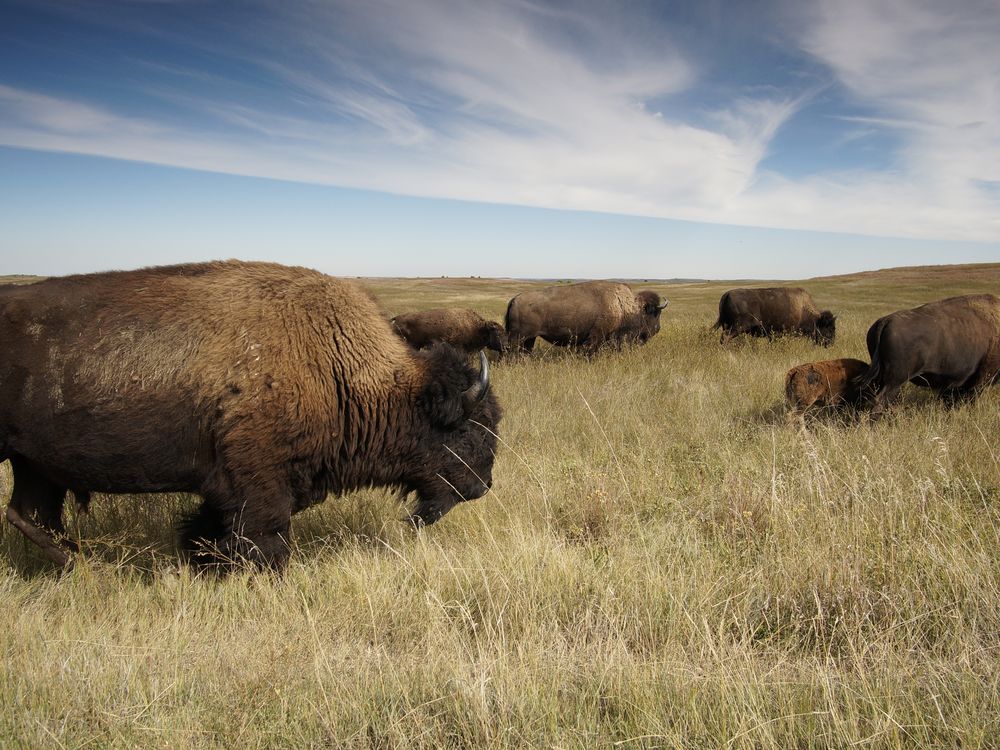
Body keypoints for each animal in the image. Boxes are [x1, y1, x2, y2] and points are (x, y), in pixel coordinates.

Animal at [0, 260, 501, 570]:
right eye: (469, 430)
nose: (482, 487)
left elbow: (209, 529)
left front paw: (198, 560)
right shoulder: (259, 483)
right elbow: (265, 538)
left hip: (37, 465)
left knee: (26, 514)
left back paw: (83, 563)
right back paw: (88, 564)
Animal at [504, 280, 668, 354]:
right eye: (655, 313)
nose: (658, 329)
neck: (623, 306)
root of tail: (514, 299)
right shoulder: (596, 336)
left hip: (529, 338)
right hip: (518, 337)